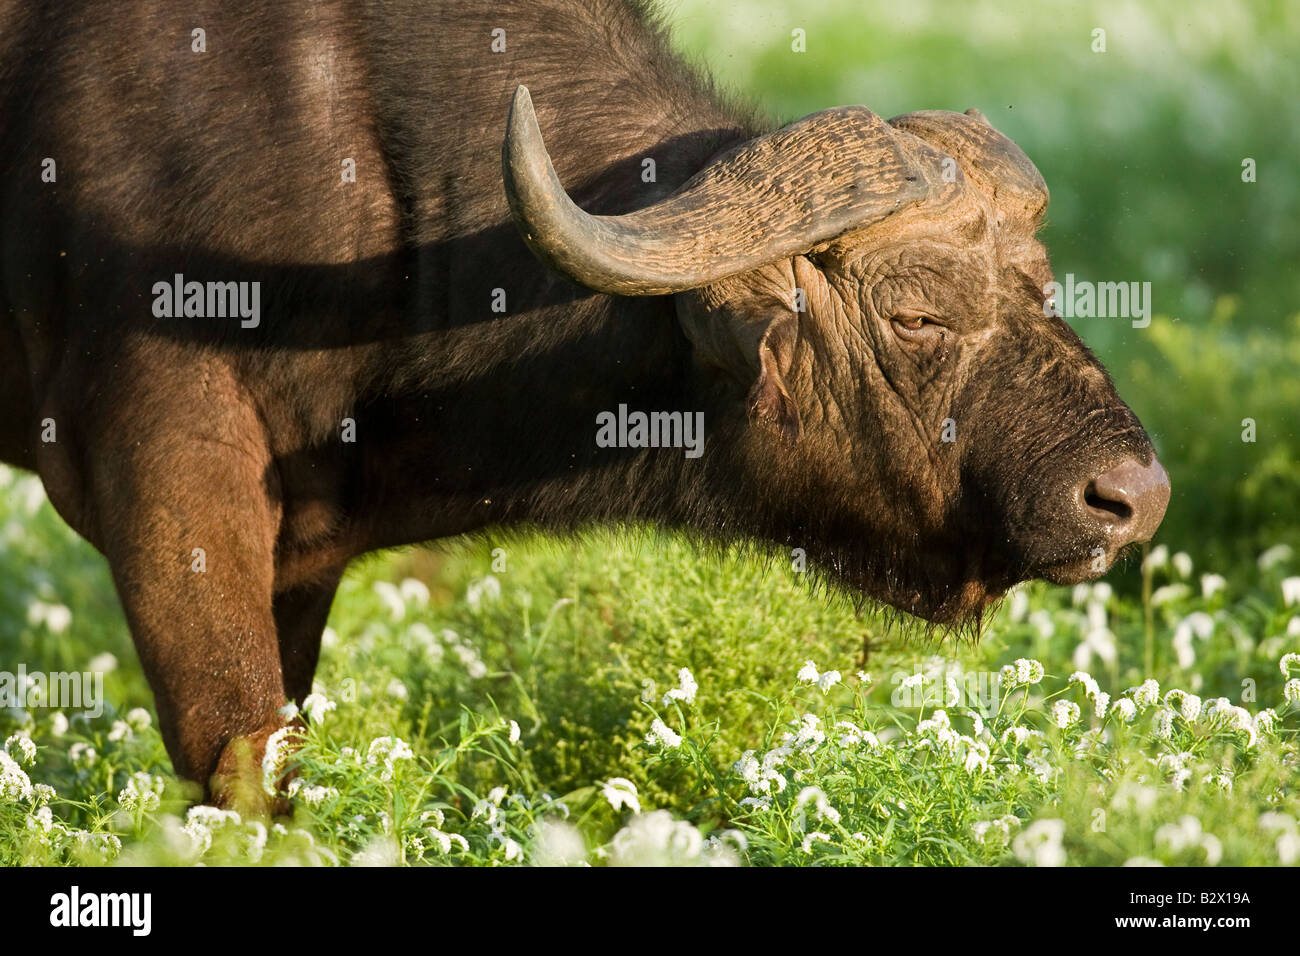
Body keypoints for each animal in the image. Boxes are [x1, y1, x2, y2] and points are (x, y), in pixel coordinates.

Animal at [0, 0, 1168, 804]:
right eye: (916, 314)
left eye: (1042, 283)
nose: (1133, 497)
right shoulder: (175, 496)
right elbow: (244, 762)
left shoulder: (300, 558)